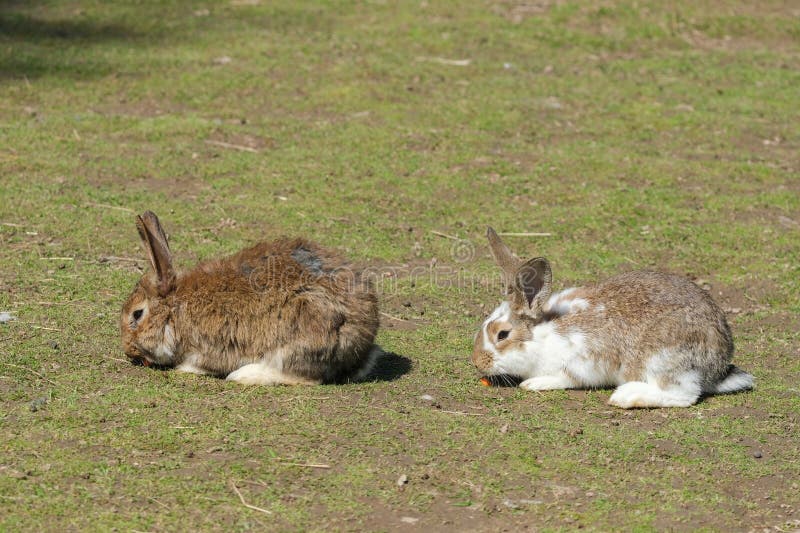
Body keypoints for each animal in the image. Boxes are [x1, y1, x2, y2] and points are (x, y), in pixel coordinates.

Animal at [120, 211, 381, 385]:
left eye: (137, 314)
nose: (128, 351)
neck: (175, 308)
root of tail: (362, 342)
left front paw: (185, 369)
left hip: (303, 332)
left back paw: (243, 375)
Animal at [472, 227, 753, 408]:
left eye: (502, 335)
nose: (477, 362)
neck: (544, 334)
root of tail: (718, 365)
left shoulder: (581, 362)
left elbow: (564, 377)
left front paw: (534, 383)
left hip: (663, 358)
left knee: (684, 395)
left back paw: (627, 397)